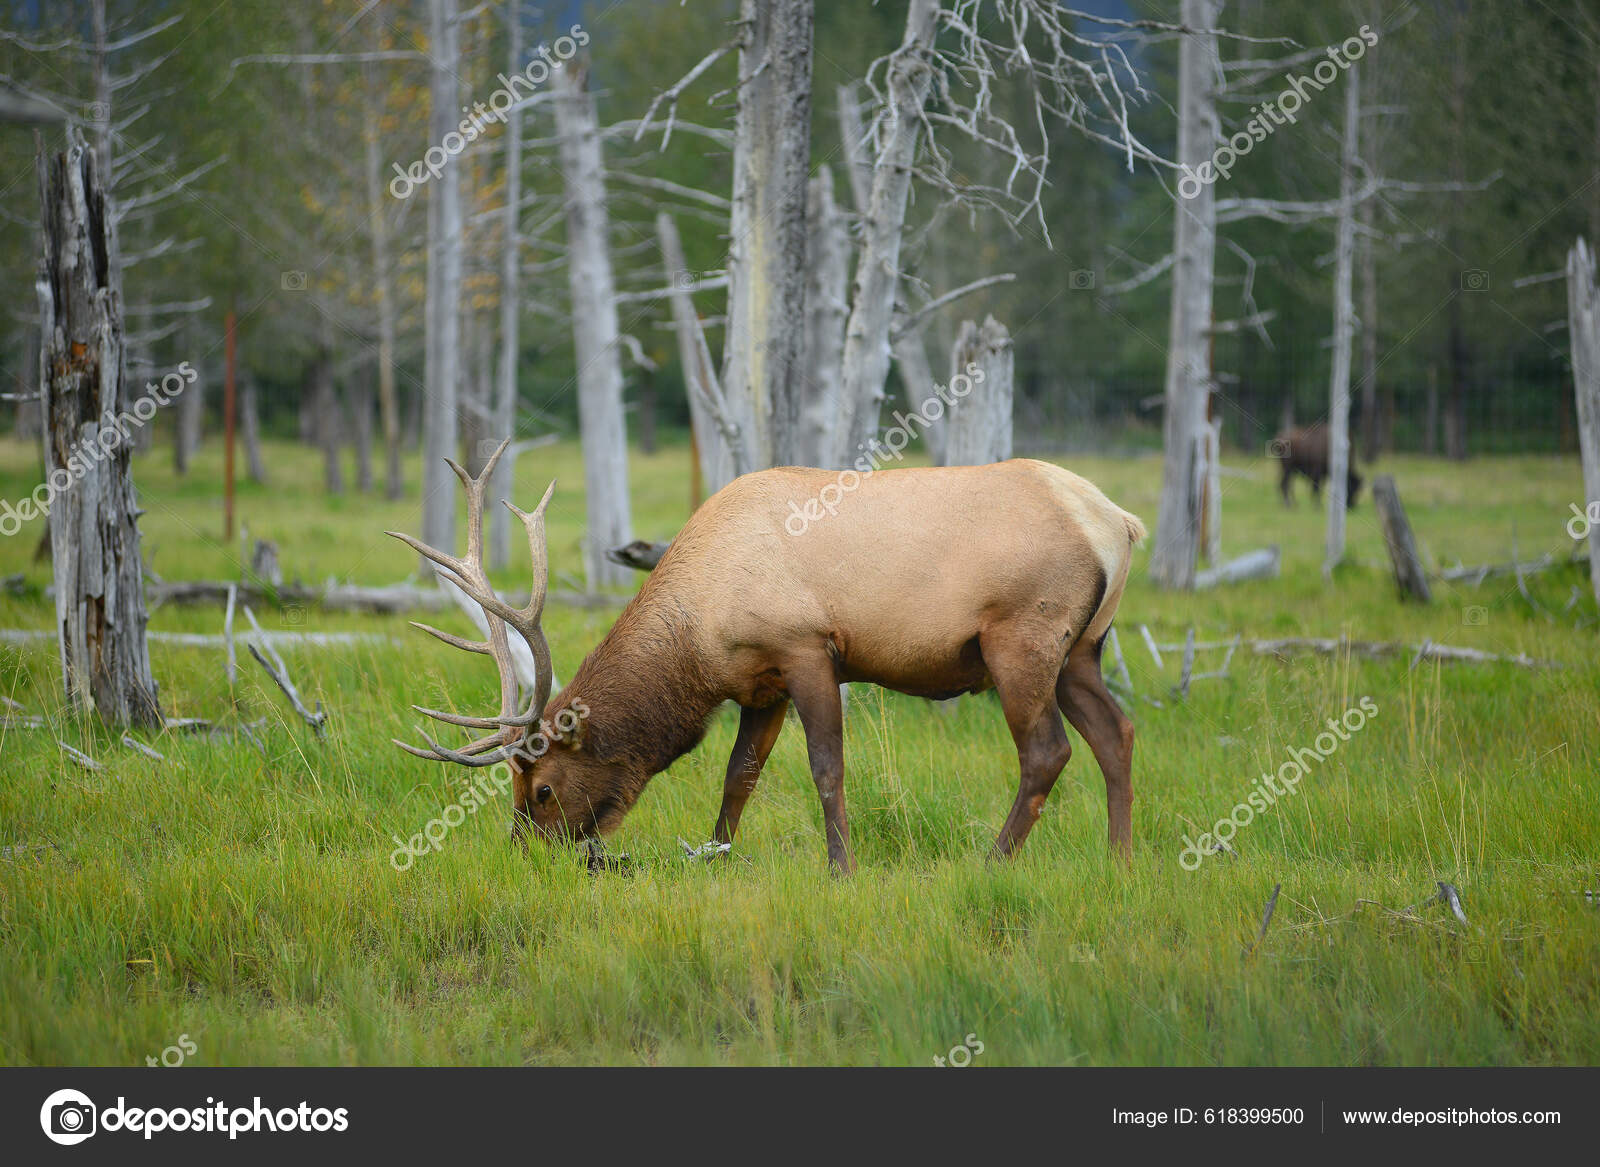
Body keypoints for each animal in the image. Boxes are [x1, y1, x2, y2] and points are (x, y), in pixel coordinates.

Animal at [389, 439, 1146, 873]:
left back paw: (992, 861)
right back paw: (1120, 860)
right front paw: (717, 852)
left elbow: (825, 768)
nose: (525, 858)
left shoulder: (805, 647)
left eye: (542, 788)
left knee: (1047, 750)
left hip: (1020, 637)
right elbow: (739, 775)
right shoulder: (760, 682)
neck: (697, 638)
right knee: (1116, 732)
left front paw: (840, 868)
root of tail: (1119, 521)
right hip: (1084, 647)